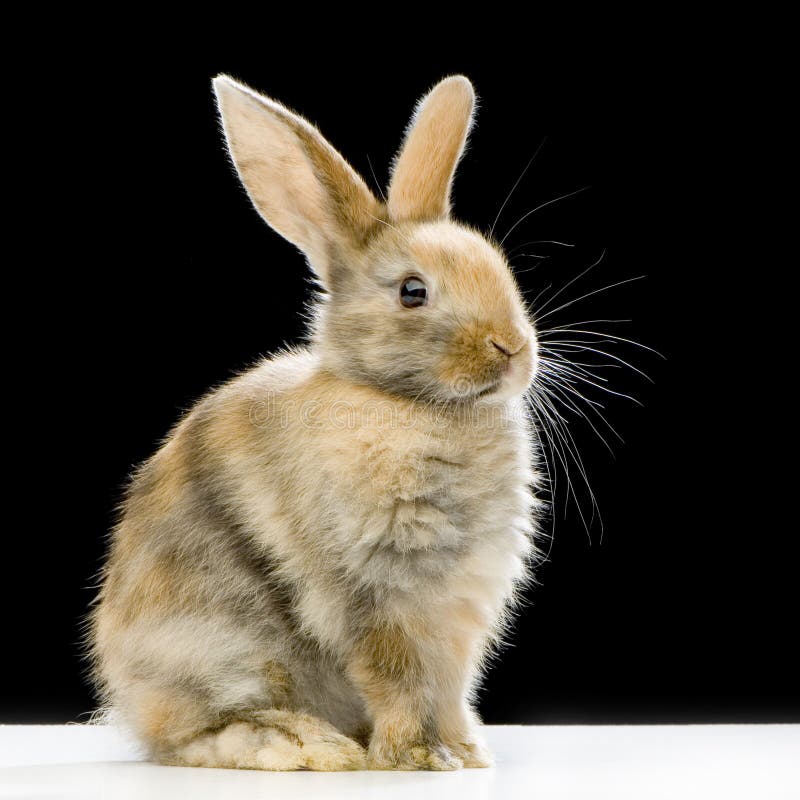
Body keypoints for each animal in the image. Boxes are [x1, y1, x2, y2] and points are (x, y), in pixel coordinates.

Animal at [88, 73, 542, 771]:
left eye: (499, 266)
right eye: (413, 291)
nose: (512, 348)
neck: (402, 403)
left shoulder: (459, 610)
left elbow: (448, 685)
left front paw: (466, 754)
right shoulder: (371, 594)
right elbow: (398, 675)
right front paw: (418, 759)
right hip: (220, 646)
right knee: (189, 732)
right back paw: (309, 744)